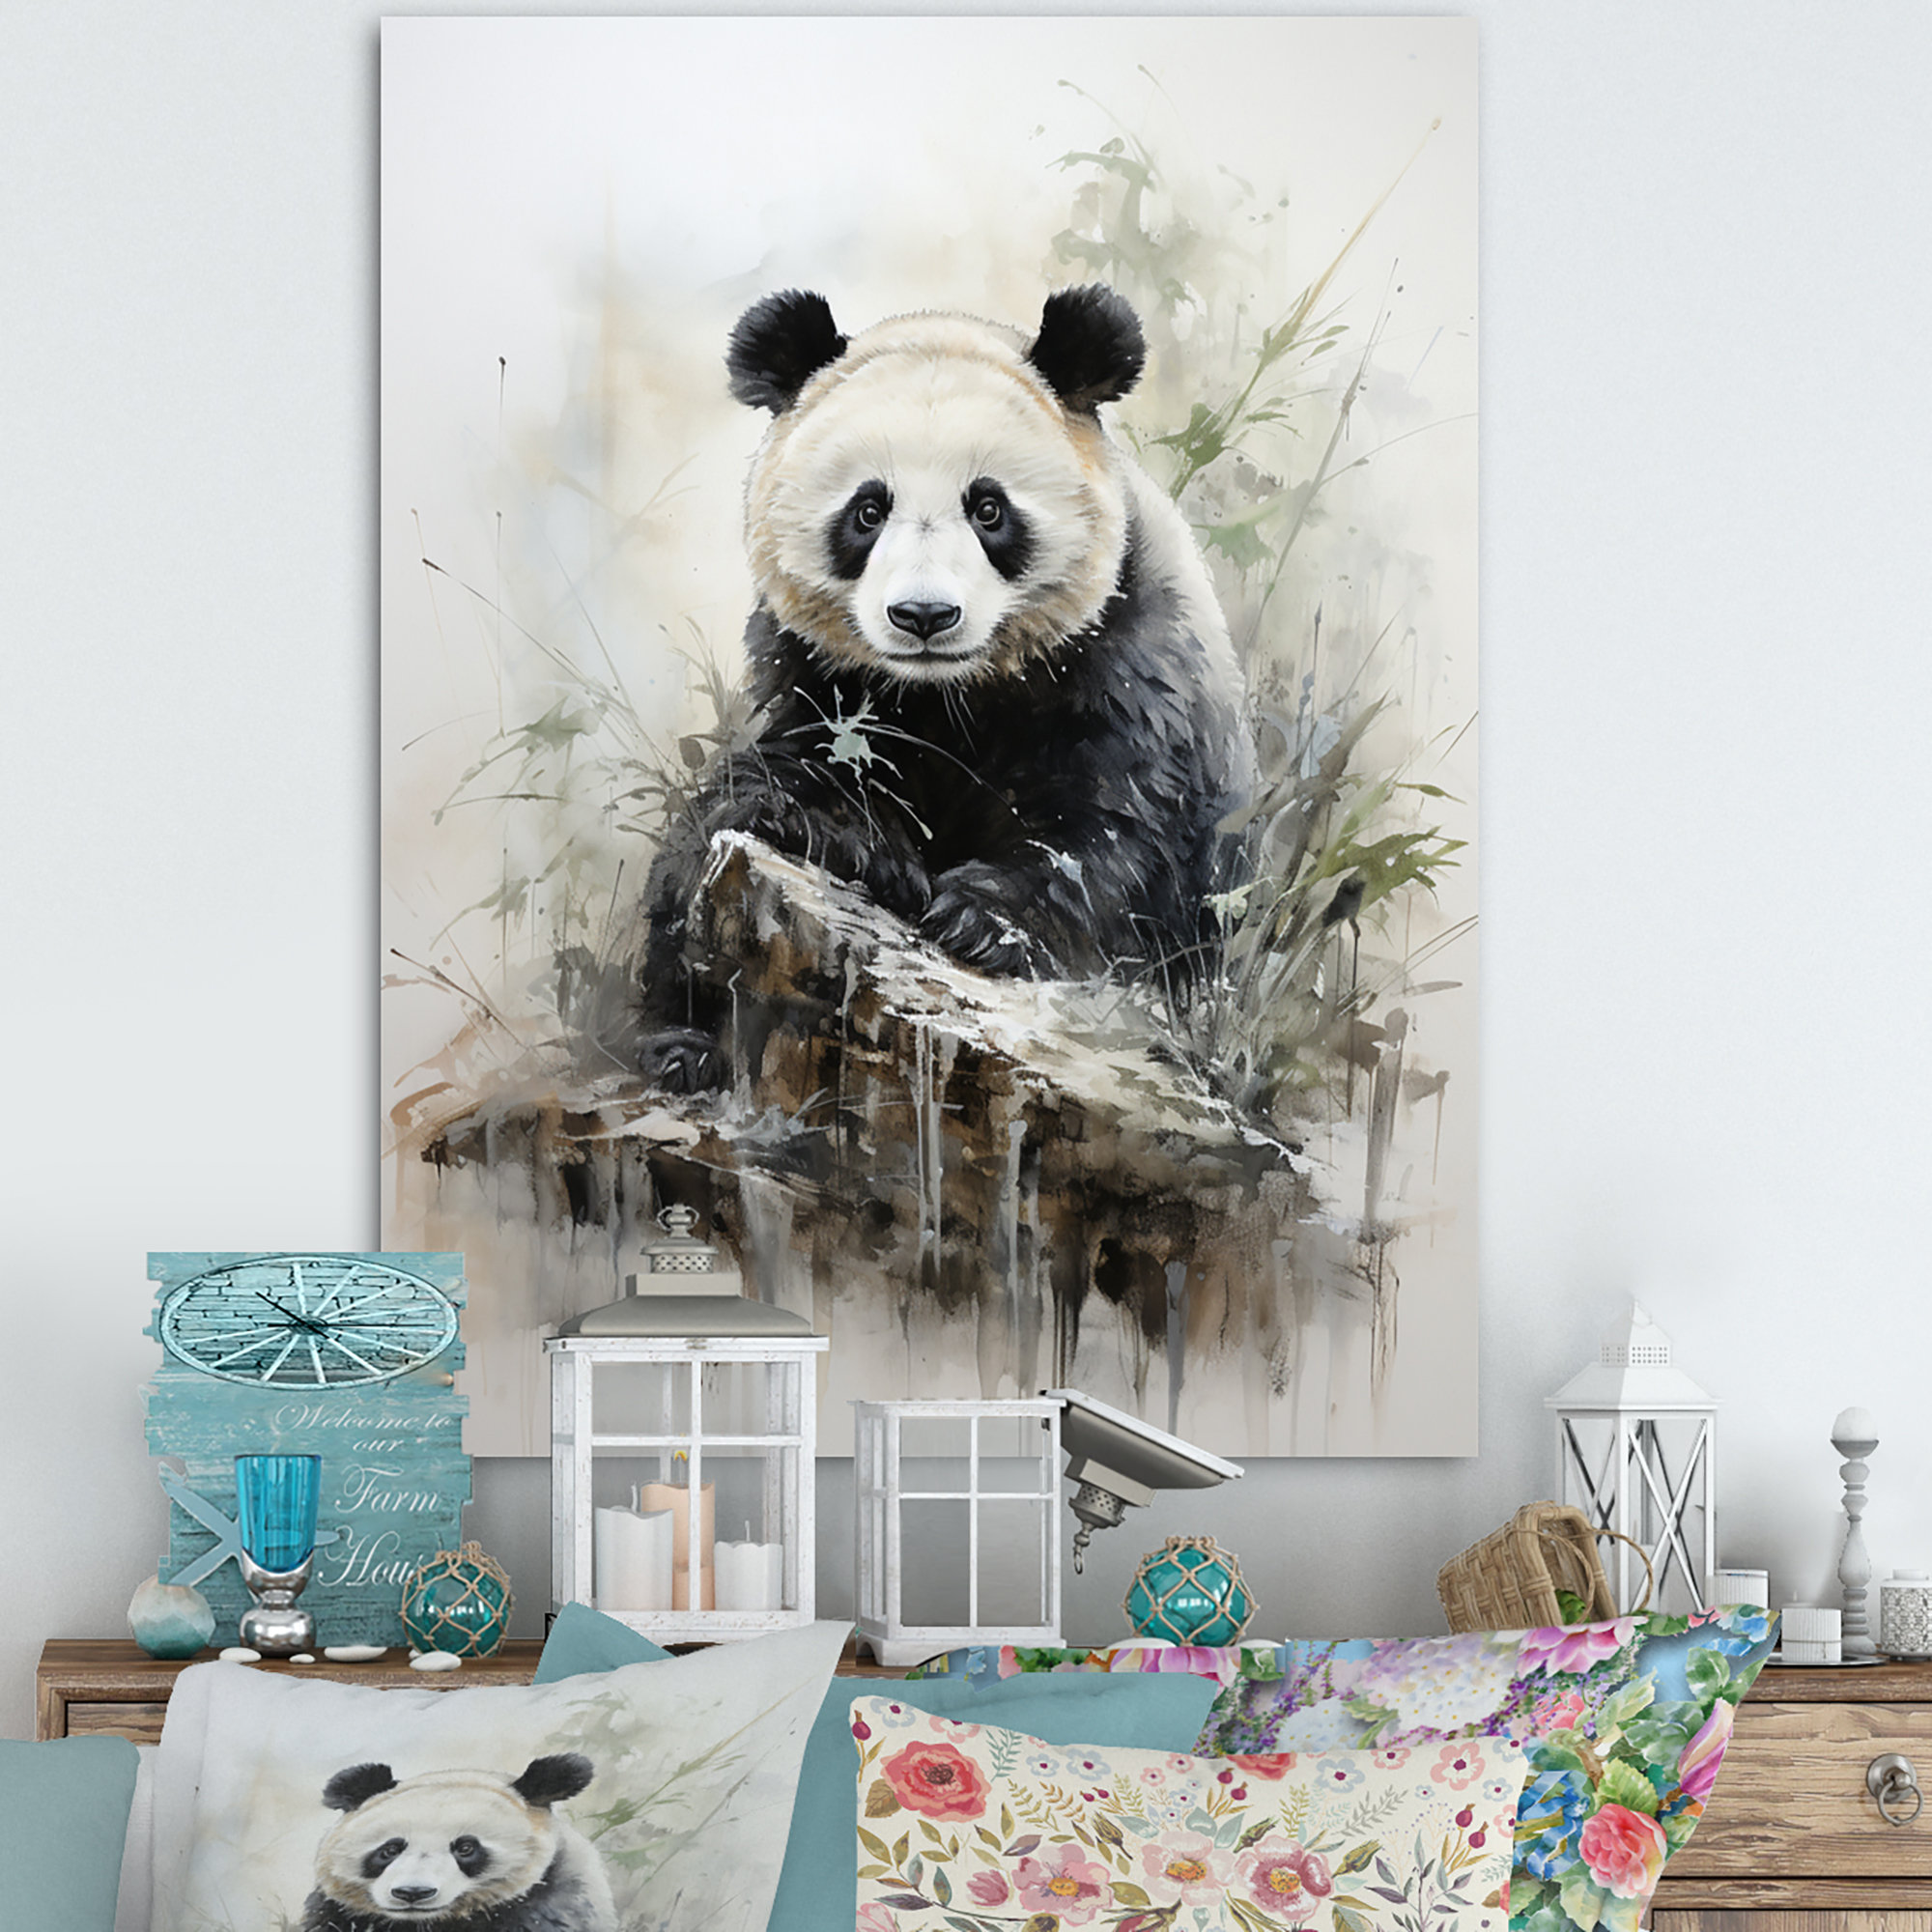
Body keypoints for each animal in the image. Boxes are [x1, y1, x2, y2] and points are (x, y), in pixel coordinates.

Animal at [300, 1754, 616, 1932]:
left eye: (466, 1848)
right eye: (389, 1849)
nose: (413, 1892)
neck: (423, 1924)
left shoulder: (547, 1906)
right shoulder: (337, 1914)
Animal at [635, 283, 1253, 1091]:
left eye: (988, 509)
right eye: (868, 510)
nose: (924, 616)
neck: (951, 695)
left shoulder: (1126, 661)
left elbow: (1117, 832)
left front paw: (980, 917)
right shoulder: (820, 679)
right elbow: (778, 779)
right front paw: (847, 840)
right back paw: (680, 1044)